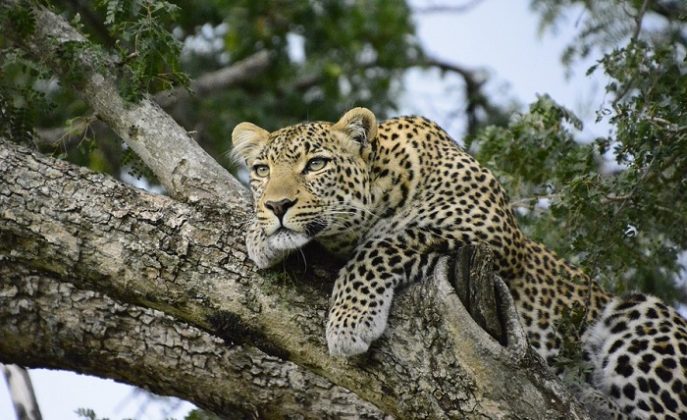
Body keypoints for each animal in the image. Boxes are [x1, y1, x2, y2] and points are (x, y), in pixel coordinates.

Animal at [231, 107, 687, 419]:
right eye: (261, 169)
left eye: (317, 164)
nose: (276, 205)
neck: (386, 178)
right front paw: (259, 234)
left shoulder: (488, 230)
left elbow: (386, 244)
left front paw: (349, 320)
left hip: (640, 316)